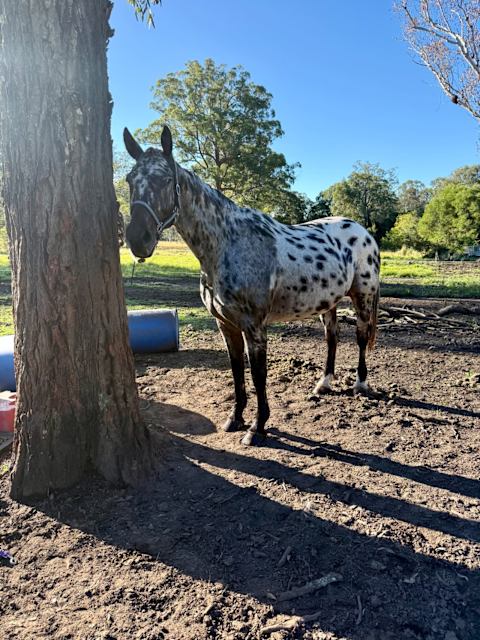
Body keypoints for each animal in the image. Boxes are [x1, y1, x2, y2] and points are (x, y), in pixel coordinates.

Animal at [123, 126, 380, 446]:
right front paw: (235, 418)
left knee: (360, 337)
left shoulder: (254, 327)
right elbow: (237, 372)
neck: (227, 244)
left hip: (362, 297)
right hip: (328, 303)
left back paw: (360, 384)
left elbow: (258, 376)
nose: (137, 239)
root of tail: (363, 232)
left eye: (164, 179)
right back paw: (323, 384)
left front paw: (257, 428)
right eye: (129, 179)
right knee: (331, 338)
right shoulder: (226, 325)